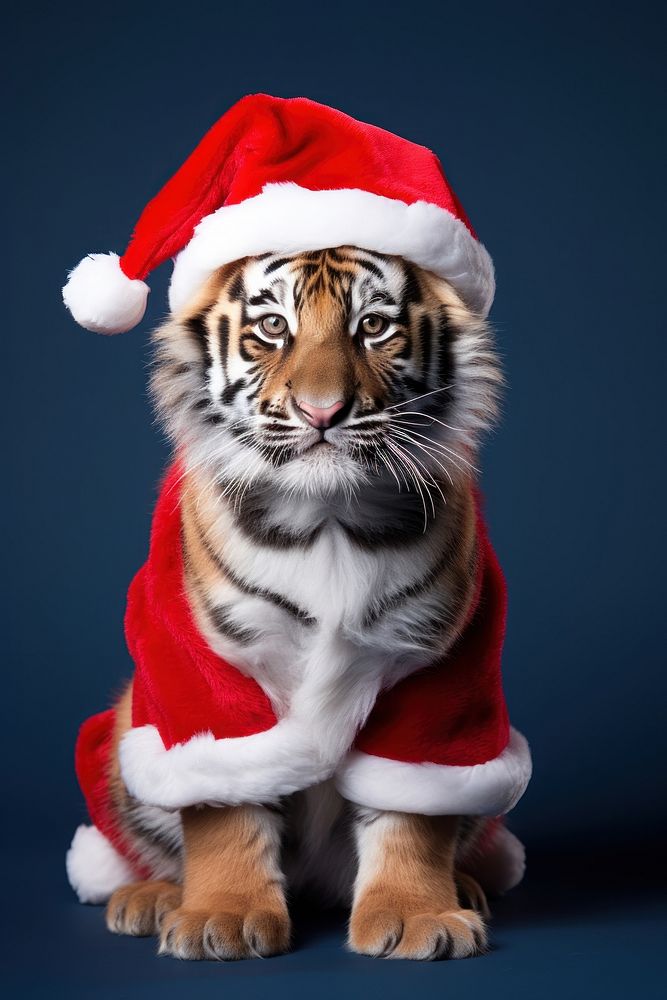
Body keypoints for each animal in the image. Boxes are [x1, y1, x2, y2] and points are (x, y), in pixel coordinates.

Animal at [87, 245, 519, 961]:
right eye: (271, 327)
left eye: (373, 327)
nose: (322, 412)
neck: (329, 516)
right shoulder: (204, 668)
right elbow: (222, 805)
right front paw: (223, 916)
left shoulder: (436, 666)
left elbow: (413, 813)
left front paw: (417, 915)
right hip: (129, 723)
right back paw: (151, 899)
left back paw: (467, 888)